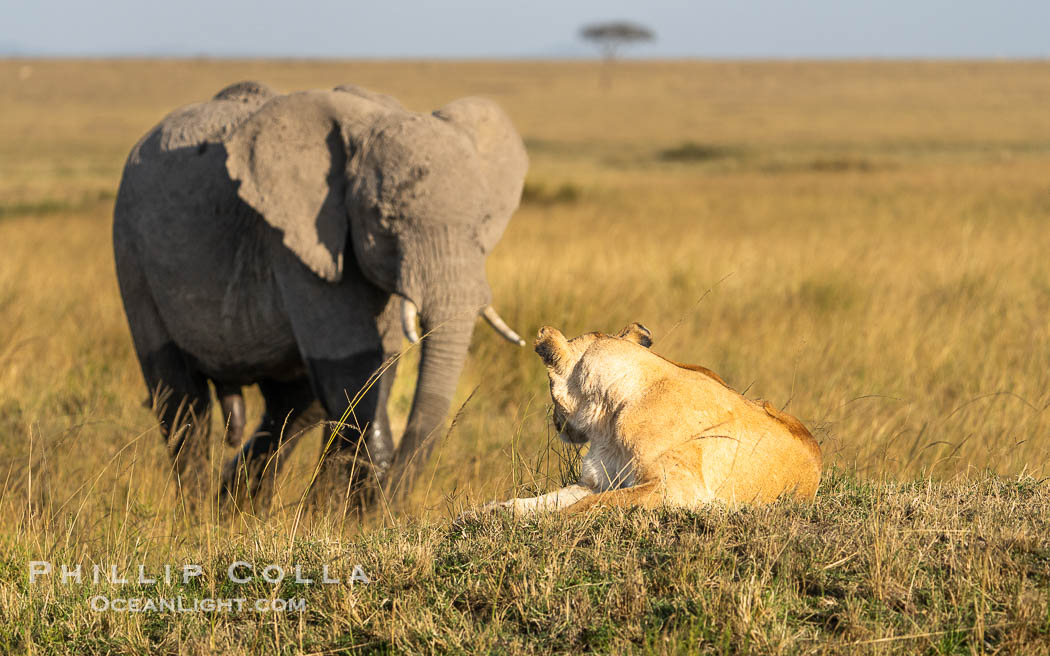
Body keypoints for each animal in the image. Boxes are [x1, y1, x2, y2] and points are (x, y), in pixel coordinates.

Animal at [112, 80, 528, 514]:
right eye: (384, 220)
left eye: (484, 222)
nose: (389, 505)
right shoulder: (297, 242)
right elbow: (353, 370)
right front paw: (357, 510)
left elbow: (374, 369)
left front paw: (339, 512)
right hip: (131, 251)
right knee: (180, 402)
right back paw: (200, 516)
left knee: (292, 405)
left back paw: (237, 510)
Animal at [480, 323, 822, 515]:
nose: (555, 422)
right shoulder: (597, 481)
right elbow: (547, 499)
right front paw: (495, 511)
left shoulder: (679, 489)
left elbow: (590, 505)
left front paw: (551, 524)